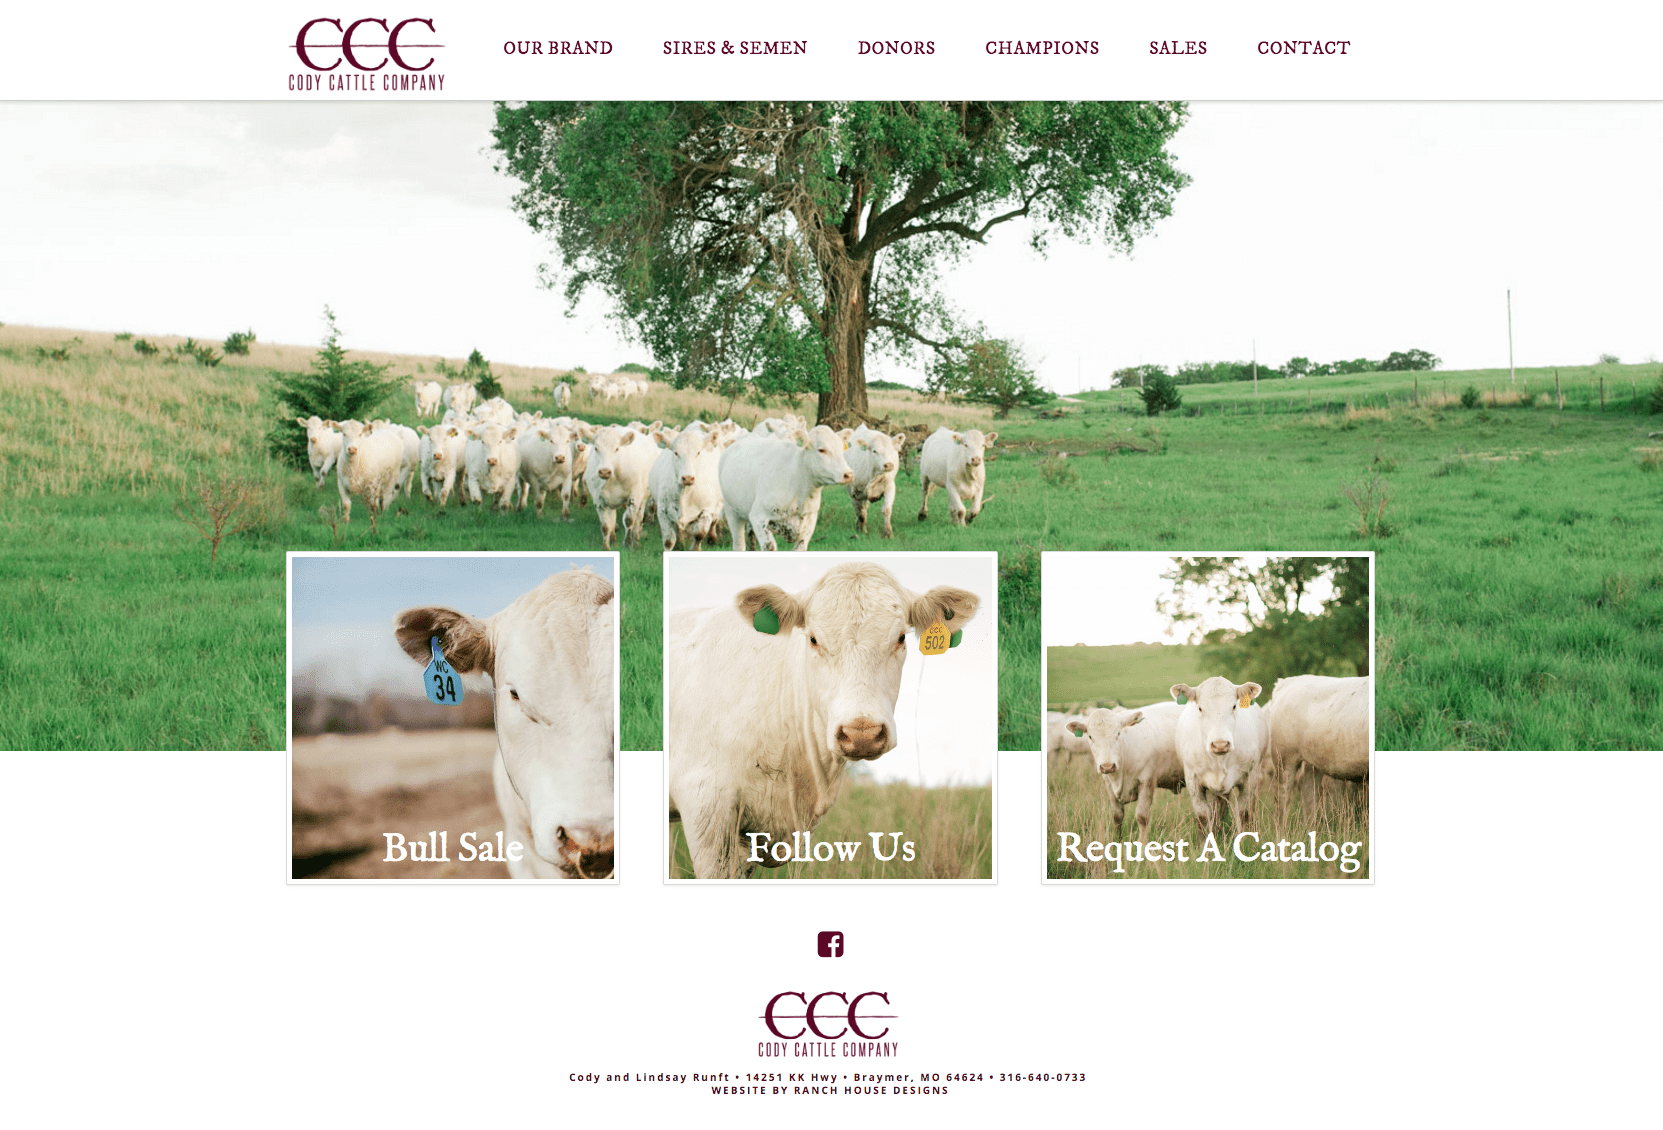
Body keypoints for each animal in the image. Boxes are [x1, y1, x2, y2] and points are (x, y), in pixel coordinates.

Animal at [718, 427, 853, 551]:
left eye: (841, 449)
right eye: (821, 450)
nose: (848, 474)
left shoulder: (809, 523)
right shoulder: (758, 516)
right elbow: (770, 546)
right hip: (732, 512)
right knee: (739, 544)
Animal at [1069, 701, 1186, 842]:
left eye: (1118, 733)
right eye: (1090, 736)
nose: (1107, 766)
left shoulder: (1147, 781)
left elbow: (1142, 817)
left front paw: (1142, 842)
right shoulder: (1109, 786)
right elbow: (1117, 816)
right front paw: (1116, 840)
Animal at [1170, 677, 1269, 836]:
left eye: (1234, 706)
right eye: (1200, 708)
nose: (1220, 744)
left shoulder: (1250, 776)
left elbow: (1244, 813)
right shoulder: (1193, 780)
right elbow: (1203, 817)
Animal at [1263, 674, 1371, 824]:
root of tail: (1288, 681)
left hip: (1313, 760)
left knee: (1308, 788)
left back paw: (1311, 826)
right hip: (1284, 759)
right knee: (1282, 798)